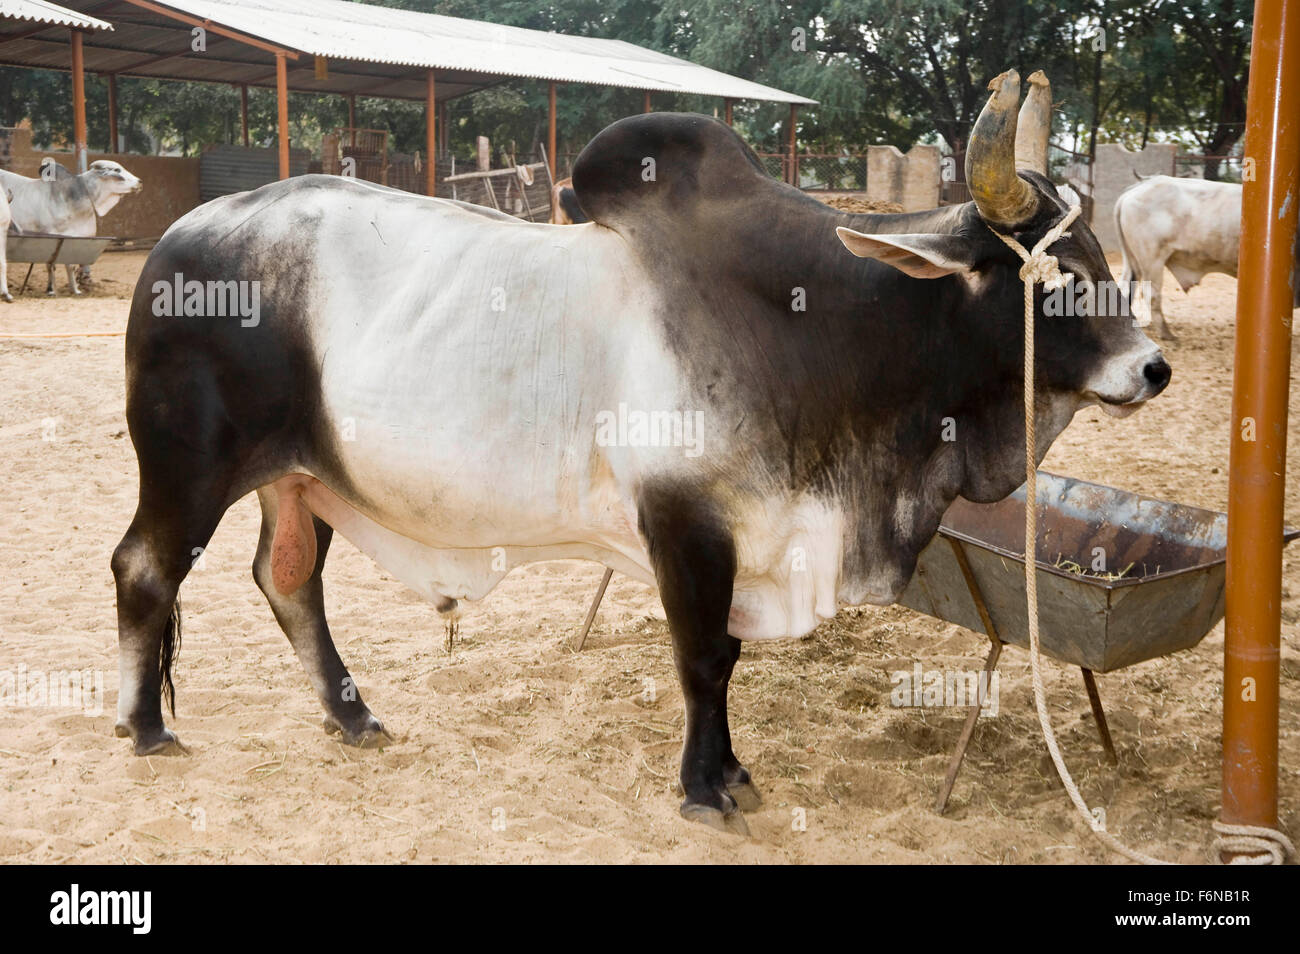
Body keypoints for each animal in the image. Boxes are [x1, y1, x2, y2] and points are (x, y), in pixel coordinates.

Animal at [0, 159, 142, 296]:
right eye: (117, 170)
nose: (139, 182)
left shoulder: (72, 240)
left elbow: (70, 266)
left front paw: (75, 290)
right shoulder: (52, 238)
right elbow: (51, 265)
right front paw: (51, 290)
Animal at [112, 70, 1169, 833]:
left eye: (1101, 261)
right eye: (1055, 278)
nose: (1154, 367)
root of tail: (178, 235)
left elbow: (729, 659)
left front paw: (732, 771)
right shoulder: (684, 521)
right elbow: (704, 657)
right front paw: (704, 789)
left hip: (298, 477)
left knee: (288, 580)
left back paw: (352, 716)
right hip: (189, 468)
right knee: (145, 570)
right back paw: (147, 728)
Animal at [1114, 174, 1300, 340]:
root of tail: (1134, 191)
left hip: (1134, 262)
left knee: (1126, 288)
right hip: (1152, 260)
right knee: (1151, 294)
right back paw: (1167, 334)